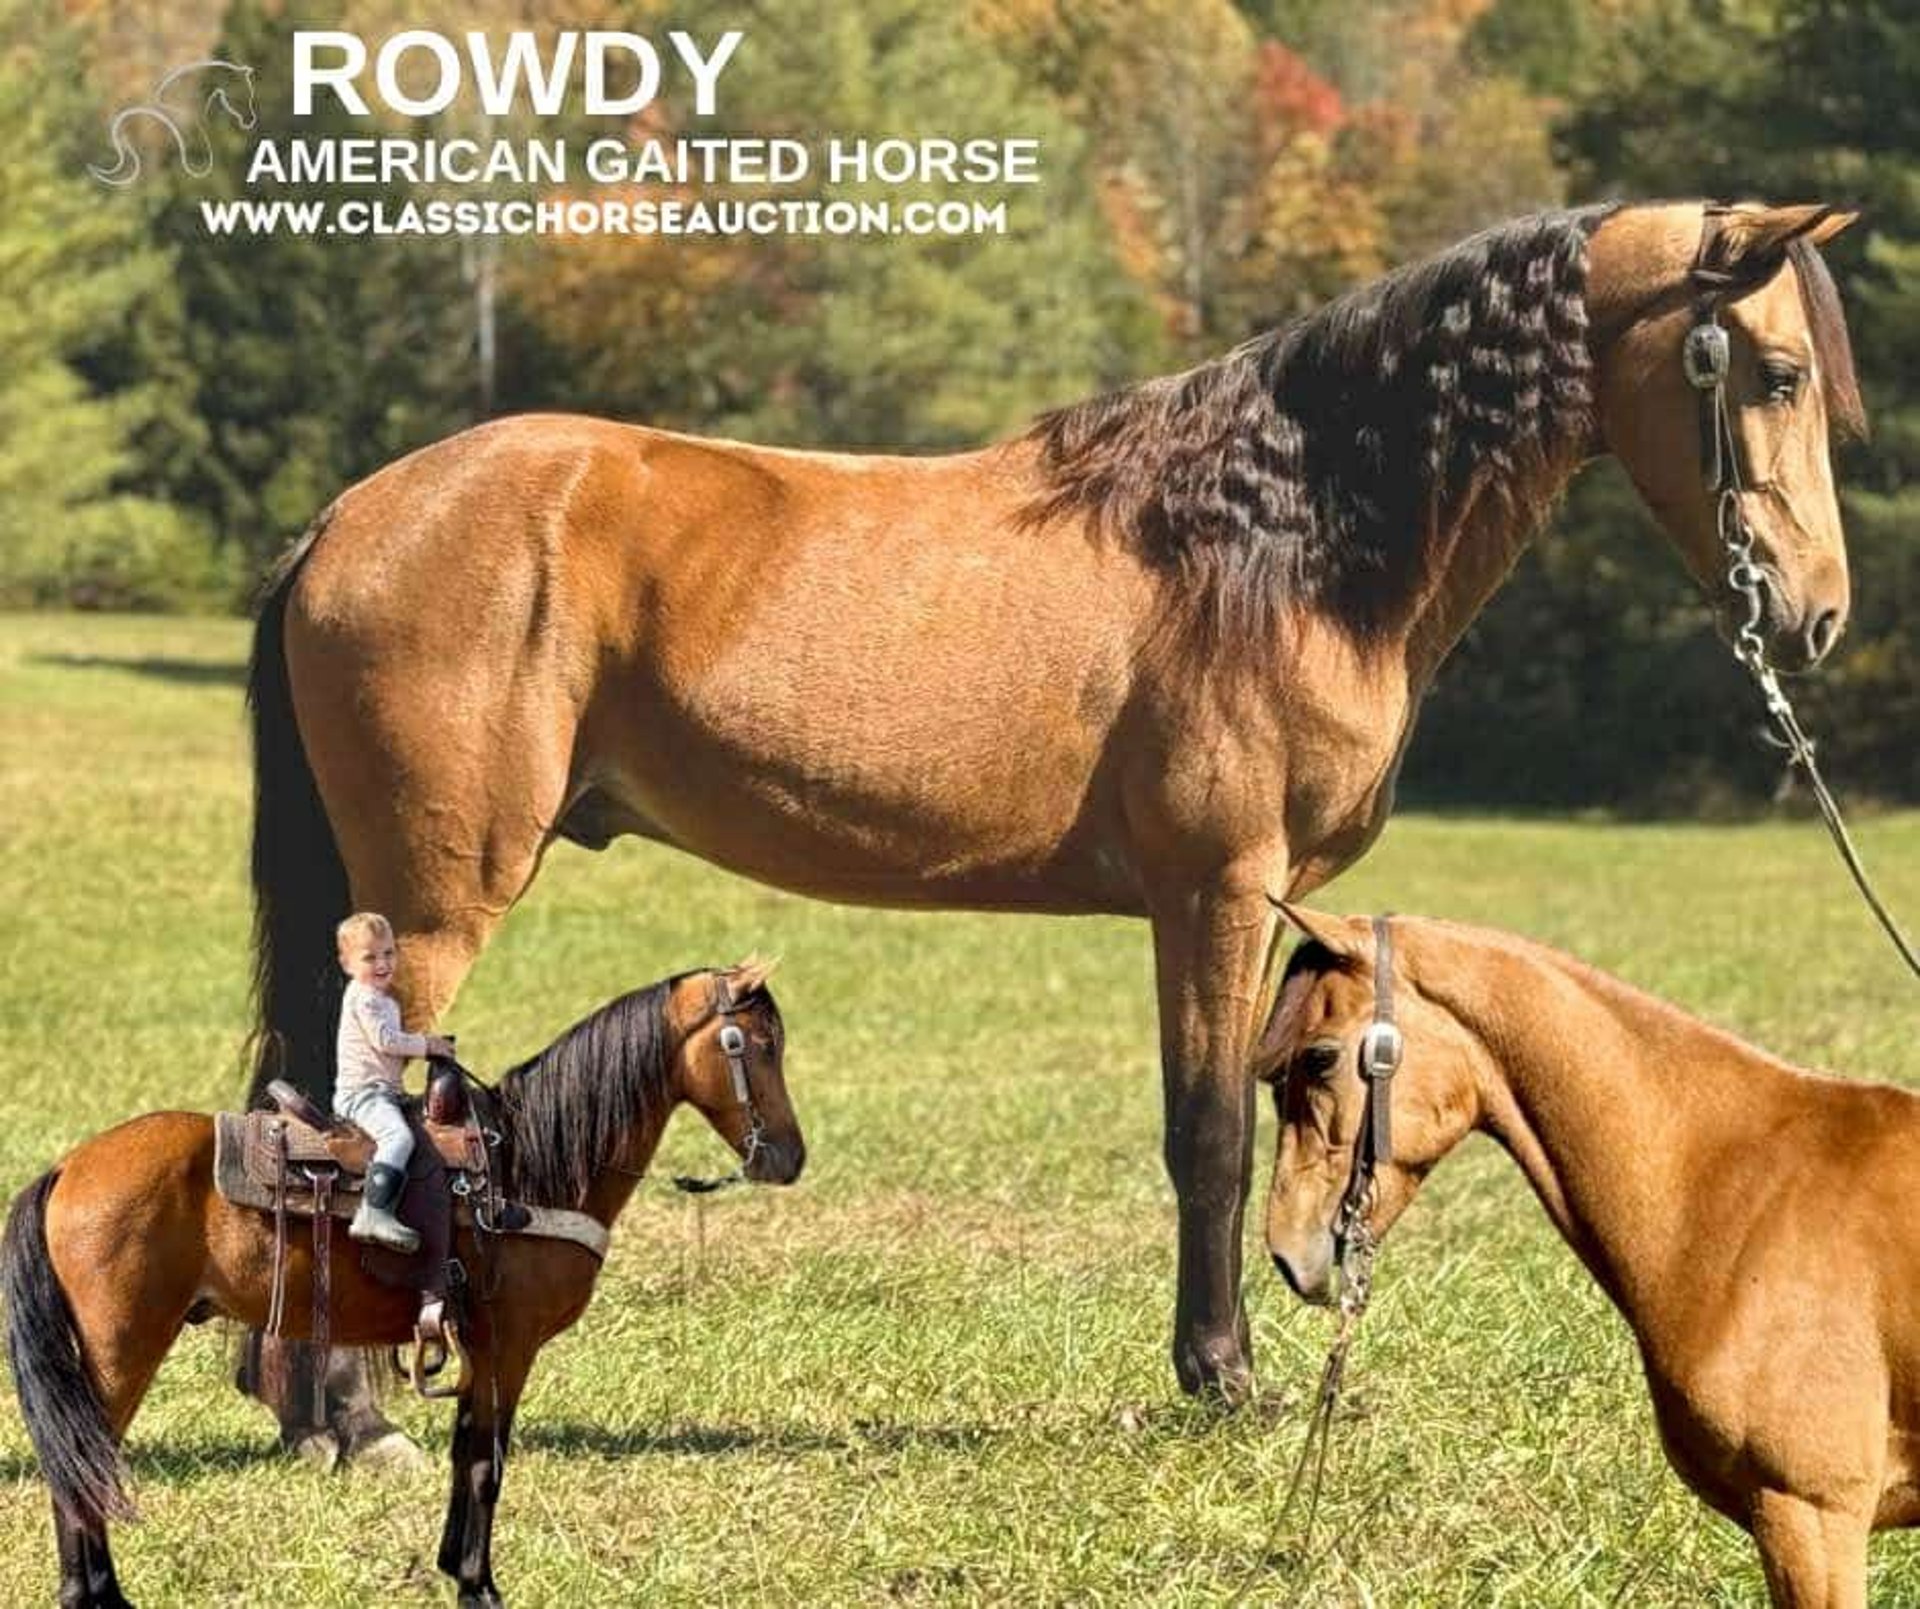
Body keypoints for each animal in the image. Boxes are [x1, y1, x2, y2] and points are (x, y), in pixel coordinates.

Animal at [2, 961, 801, 1609]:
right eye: (755, 1045)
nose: (789, 1157)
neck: (525, 1169)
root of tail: (69, 1168)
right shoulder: (509, 1345)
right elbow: (485, 1462)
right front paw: (479, 1585)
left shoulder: (478, 1346)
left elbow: (465, 1451)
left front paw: (455, 1568)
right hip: (121, 1347)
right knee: (83, 1460)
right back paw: (95, 1594)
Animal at [243, 199, 1864, 1447]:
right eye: (1776, 373)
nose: (1818, 616)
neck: (1271, 543)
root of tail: (345, 518)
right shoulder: (1216, 891)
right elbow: (1209, 1132)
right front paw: (1224, 1381)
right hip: (430, 912)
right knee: (352, 1128)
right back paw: (360, 1417)